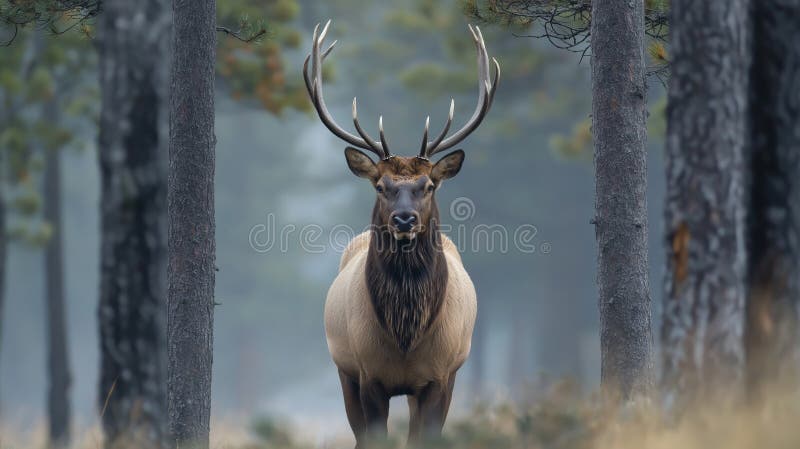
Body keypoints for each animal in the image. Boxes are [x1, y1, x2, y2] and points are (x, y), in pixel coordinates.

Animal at [304, 20, 499, 448]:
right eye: (381, 186)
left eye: (428, 185)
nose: (405, 220)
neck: (405, 338)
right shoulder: (368, 374)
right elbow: (373, 437)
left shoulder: (440, 375)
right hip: (343, 367)